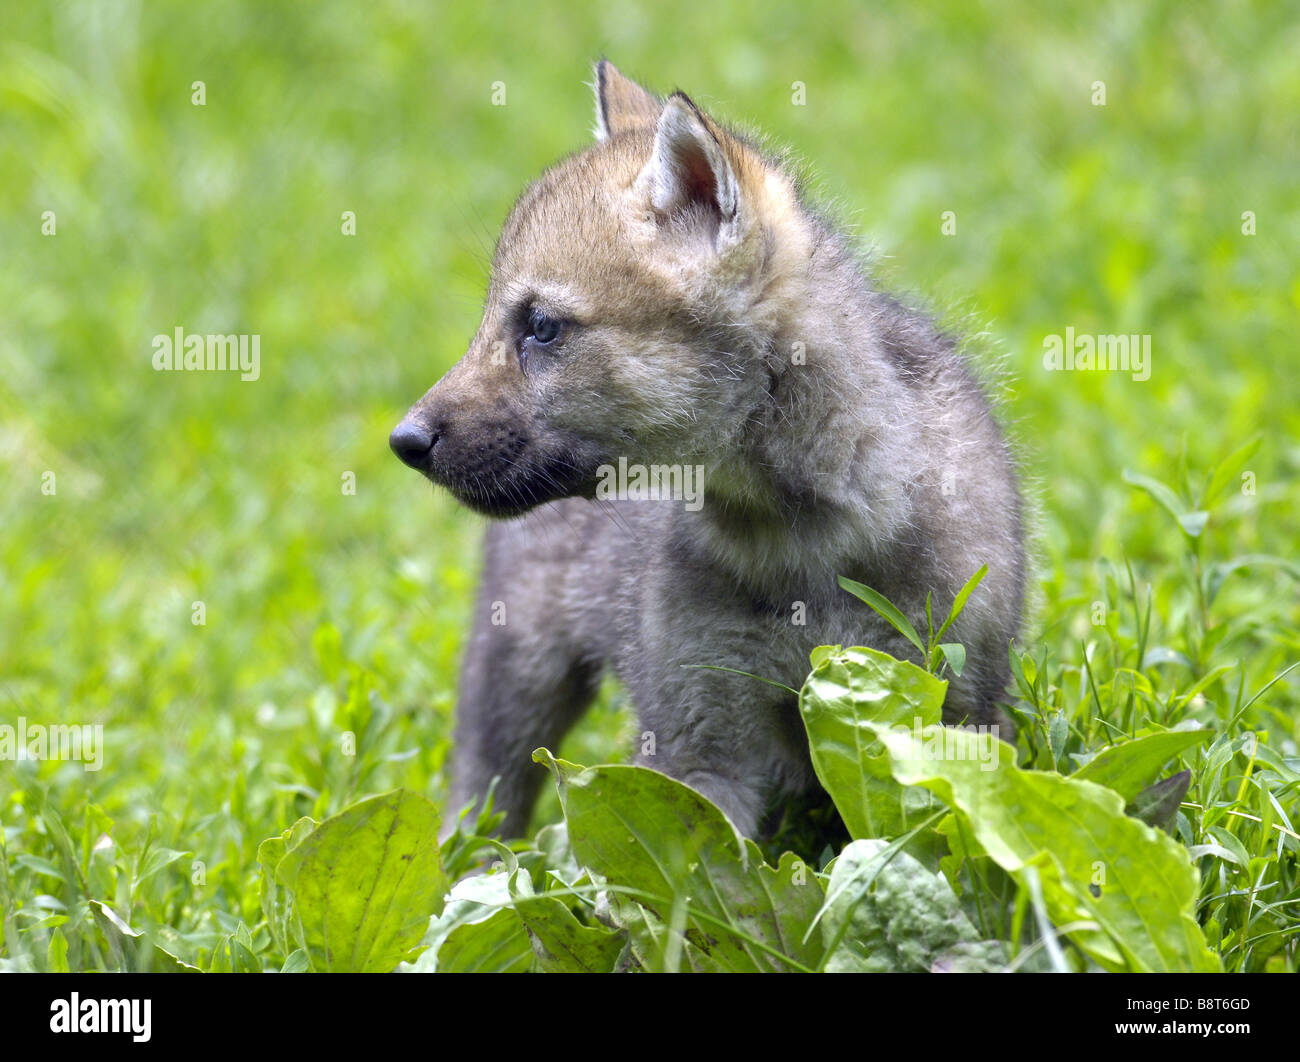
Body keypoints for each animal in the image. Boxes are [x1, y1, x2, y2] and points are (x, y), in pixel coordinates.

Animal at [390, 62, 1026, 840]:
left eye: (541, 325)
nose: (405, 440)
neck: (803, 541)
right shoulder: (699, 741)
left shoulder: (952, 708)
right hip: (516, 671)